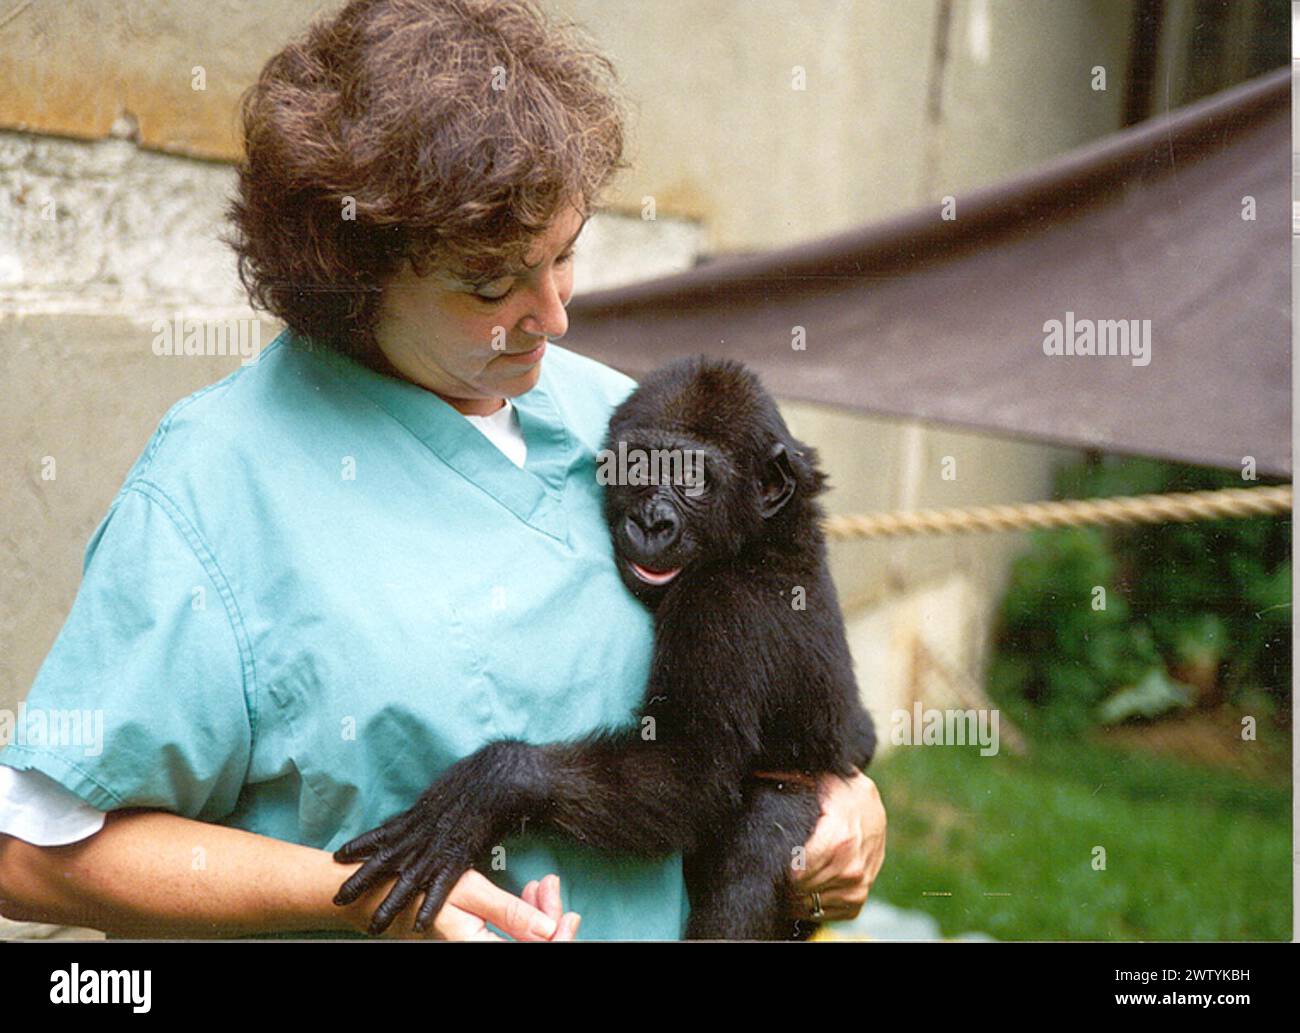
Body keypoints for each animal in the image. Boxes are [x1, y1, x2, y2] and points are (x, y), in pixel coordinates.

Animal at [332, 355, 875, 939]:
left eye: (693, 478)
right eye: (638, 467)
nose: (653, 522)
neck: (759, 541)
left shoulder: (725, 611)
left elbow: (687, 770)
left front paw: (494, 786)